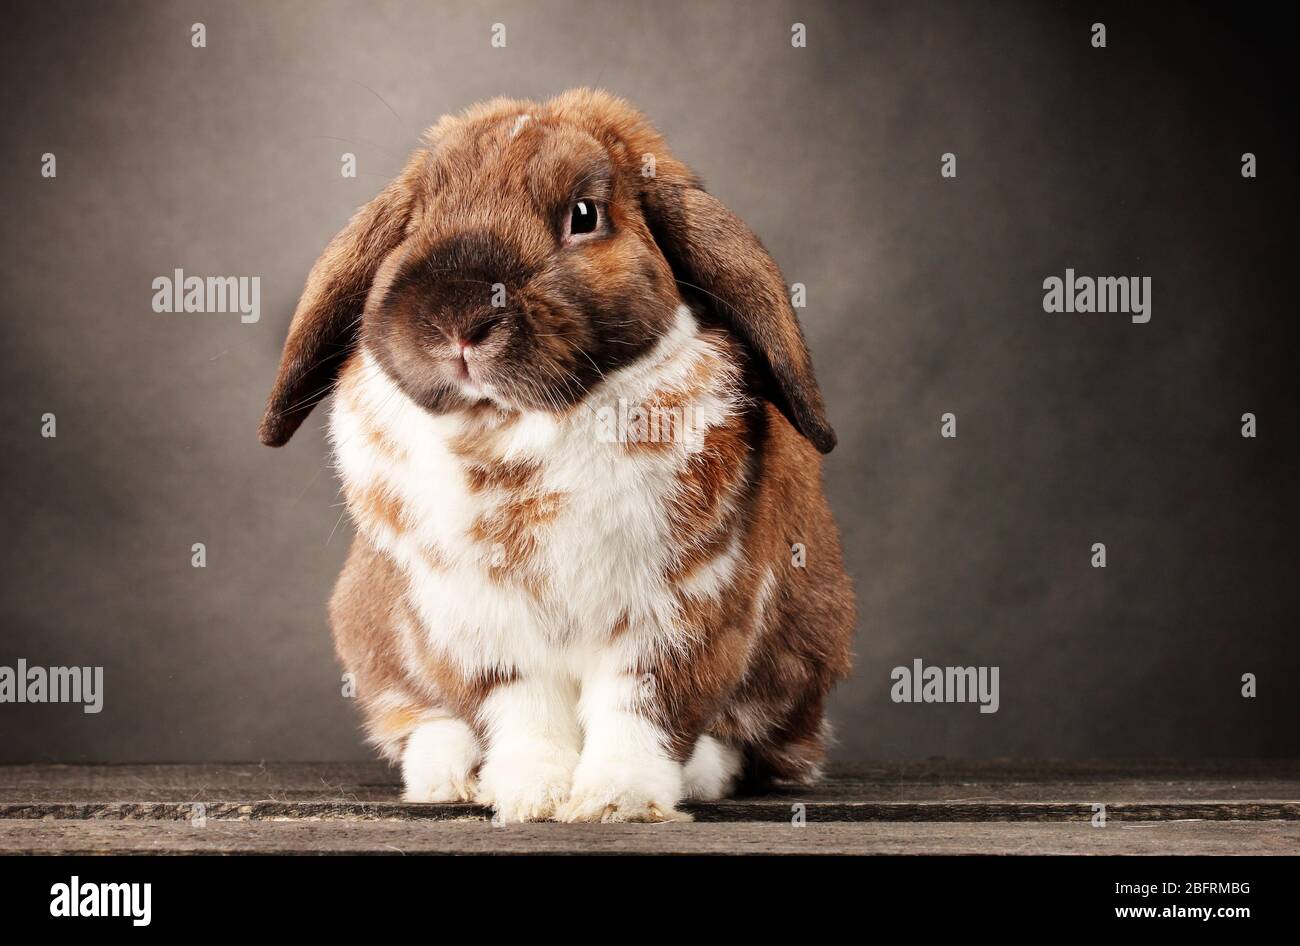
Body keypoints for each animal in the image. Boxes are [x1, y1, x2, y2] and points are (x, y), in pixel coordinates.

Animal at [259, 89, 855, 823]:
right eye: (416, 219)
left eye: (584, 215)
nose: (459, 318)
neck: (519, 433)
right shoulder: (481, 629)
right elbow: (524, 716)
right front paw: (531, 795)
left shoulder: (681, 615)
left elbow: (642, 711)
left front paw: (615, 799)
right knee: (417, 718)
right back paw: (449, 775)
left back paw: (699, 774)